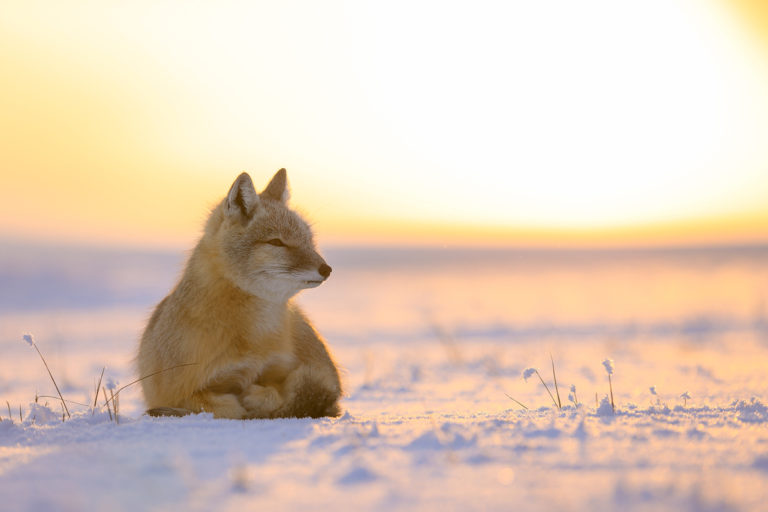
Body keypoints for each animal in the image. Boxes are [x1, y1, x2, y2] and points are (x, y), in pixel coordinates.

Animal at [137, 169, 342, 419]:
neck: (253, 336)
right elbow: (219, 406)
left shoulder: (282, 369)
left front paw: (257, 398)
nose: (326, 269)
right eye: (276, 242)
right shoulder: (175, 390)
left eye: (308, 241)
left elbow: (279, 394)